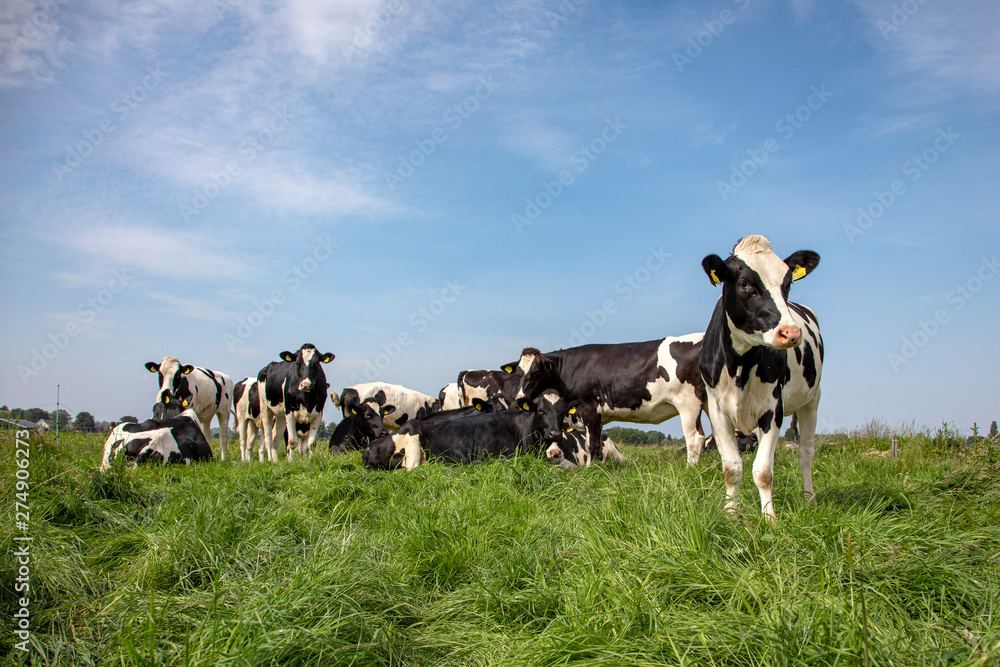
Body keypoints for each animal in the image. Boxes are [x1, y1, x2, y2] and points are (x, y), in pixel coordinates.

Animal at [501, 333, 708, 465]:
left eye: (536, 372)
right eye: (518, 373)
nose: (519, 398)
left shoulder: (589, 410)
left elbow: (592, 445)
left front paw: (591, 470)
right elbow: (597, 444)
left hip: (688, 403)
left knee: (695, 438)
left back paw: (690, 470)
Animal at [699, 234, 823, 519]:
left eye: (788, 283)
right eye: (745, 284)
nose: (791, 333)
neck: (739, 366)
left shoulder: (772, 409)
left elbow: (764, 472)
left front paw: (770, 519)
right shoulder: (717, 411)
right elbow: (732, 468)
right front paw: (731, 512)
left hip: (812, 399)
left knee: (806, 453)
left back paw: (809, 499)